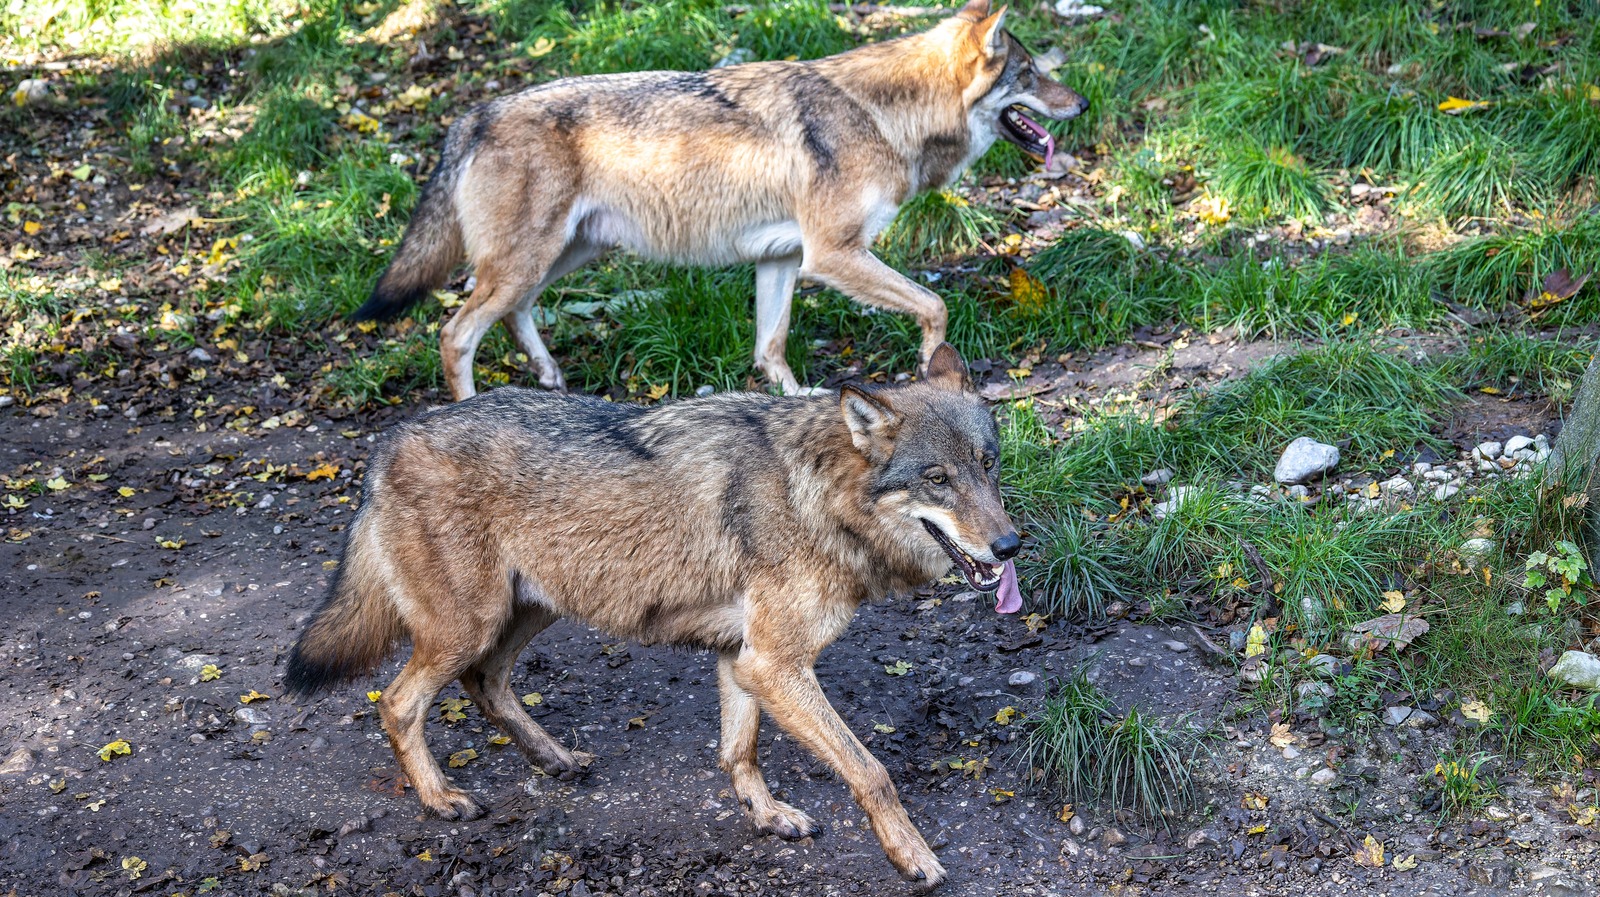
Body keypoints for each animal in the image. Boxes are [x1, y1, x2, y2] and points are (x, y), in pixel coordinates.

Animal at [284, 344, 1022, 887]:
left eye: (988, 466)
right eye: (938, 480)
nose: (1011, 545)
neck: (814, 493)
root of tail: (391, 440)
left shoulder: (743, 659)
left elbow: (738, 750)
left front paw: (767, 816)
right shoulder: (776, 665)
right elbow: (873, 772)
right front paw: (913, 856)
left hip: (530, 612)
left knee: (486, 684)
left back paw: (556, 759)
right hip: (471, 624)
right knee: (398, 701)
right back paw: (441, 798)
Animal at [355, 0, 1086, 400]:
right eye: (1031, 74)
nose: (1080, 102)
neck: (883, 116)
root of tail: (474, 114)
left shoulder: (783, 258)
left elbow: (772, 344)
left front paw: (797, 397)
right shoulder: (834, 256)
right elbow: (934, 305)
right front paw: (929, 366)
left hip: (562, 256)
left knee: (513, 315)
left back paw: (550, 376)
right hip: (528, 261)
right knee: (455, 334)